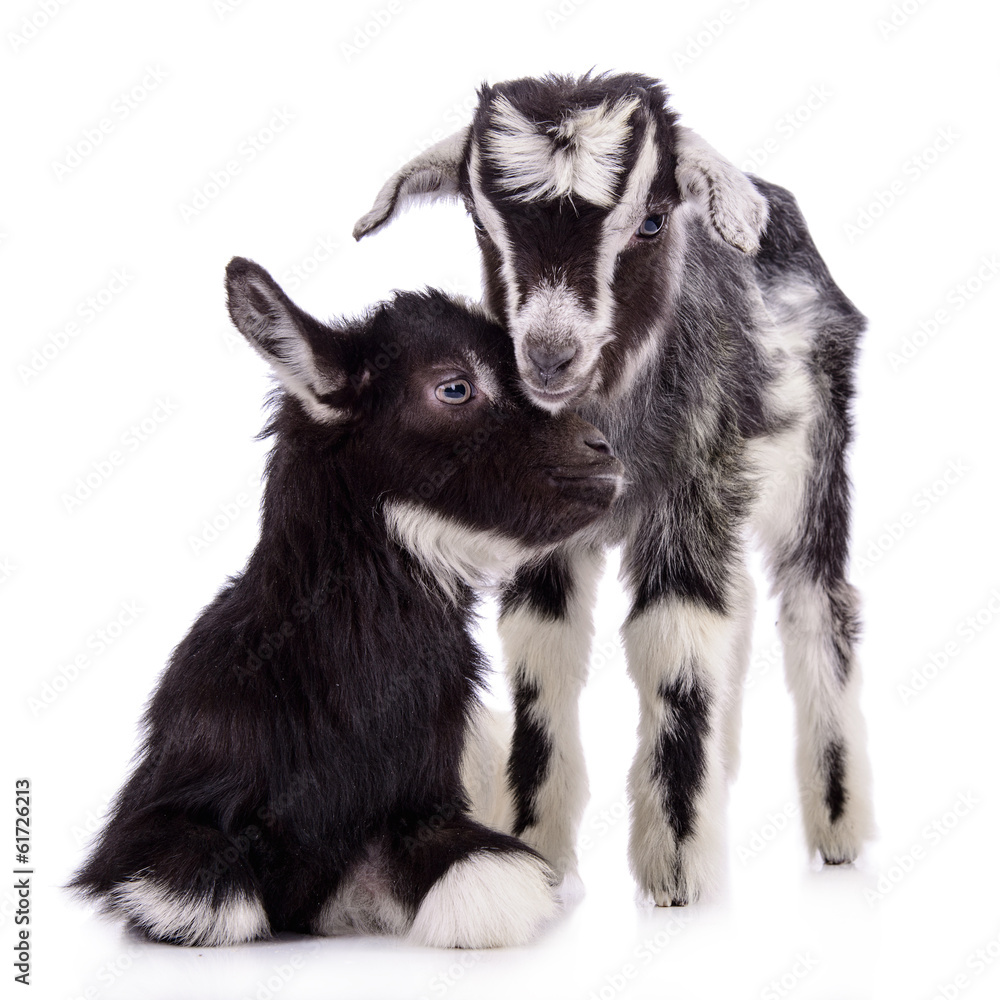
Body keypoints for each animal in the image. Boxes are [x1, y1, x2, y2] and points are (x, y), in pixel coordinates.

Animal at [70, 256, 623, 945]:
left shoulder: (431, 804)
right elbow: (203, 891)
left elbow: (491, 885)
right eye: (454, 387)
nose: (601, 451)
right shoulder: (153, 822)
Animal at [355, 71, 875, 906]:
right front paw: (536, 851)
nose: (548, 354)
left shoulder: (694, 486)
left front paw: (676, 874)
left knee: (815, 599)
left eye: (653, 221)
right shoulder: (541, 522)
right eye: (481, 223)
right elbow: (541, 649)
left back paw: (837, 827)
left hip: (813, 459)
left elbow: (676, 643)